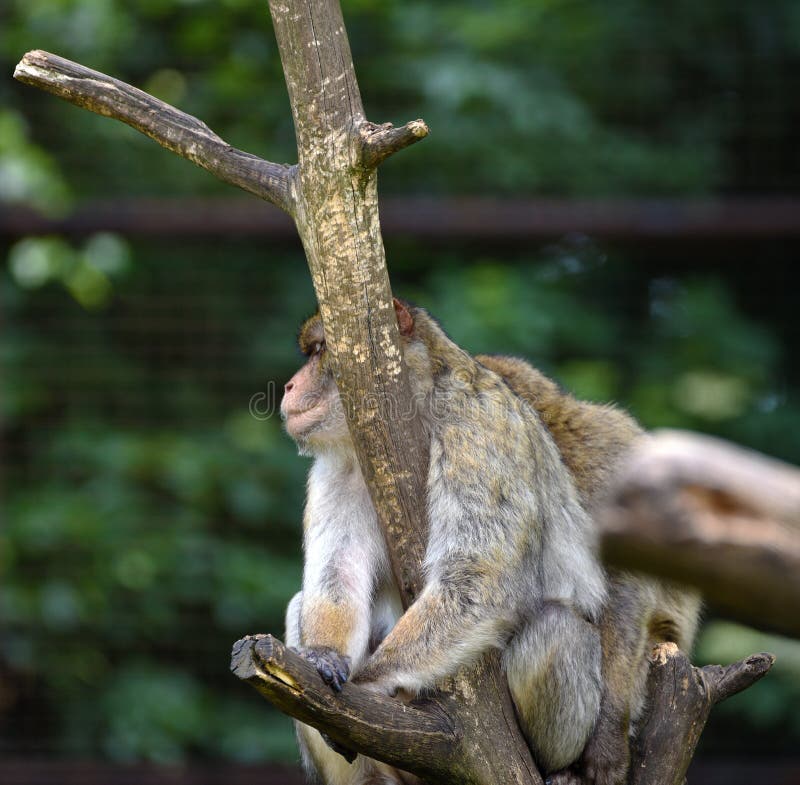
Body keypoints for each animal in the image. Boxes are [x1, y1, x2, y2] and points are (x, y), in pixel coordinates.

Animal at [280, 299, 699, 785]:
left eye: (319, 351)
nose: (289, 385)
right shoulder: (346, 461)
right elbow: (339, 571)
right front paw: (325, 658)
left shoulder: (476, 428)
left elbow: (480, 581)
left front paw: (370, 684)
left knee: (557, 626)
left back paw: (552, 762)